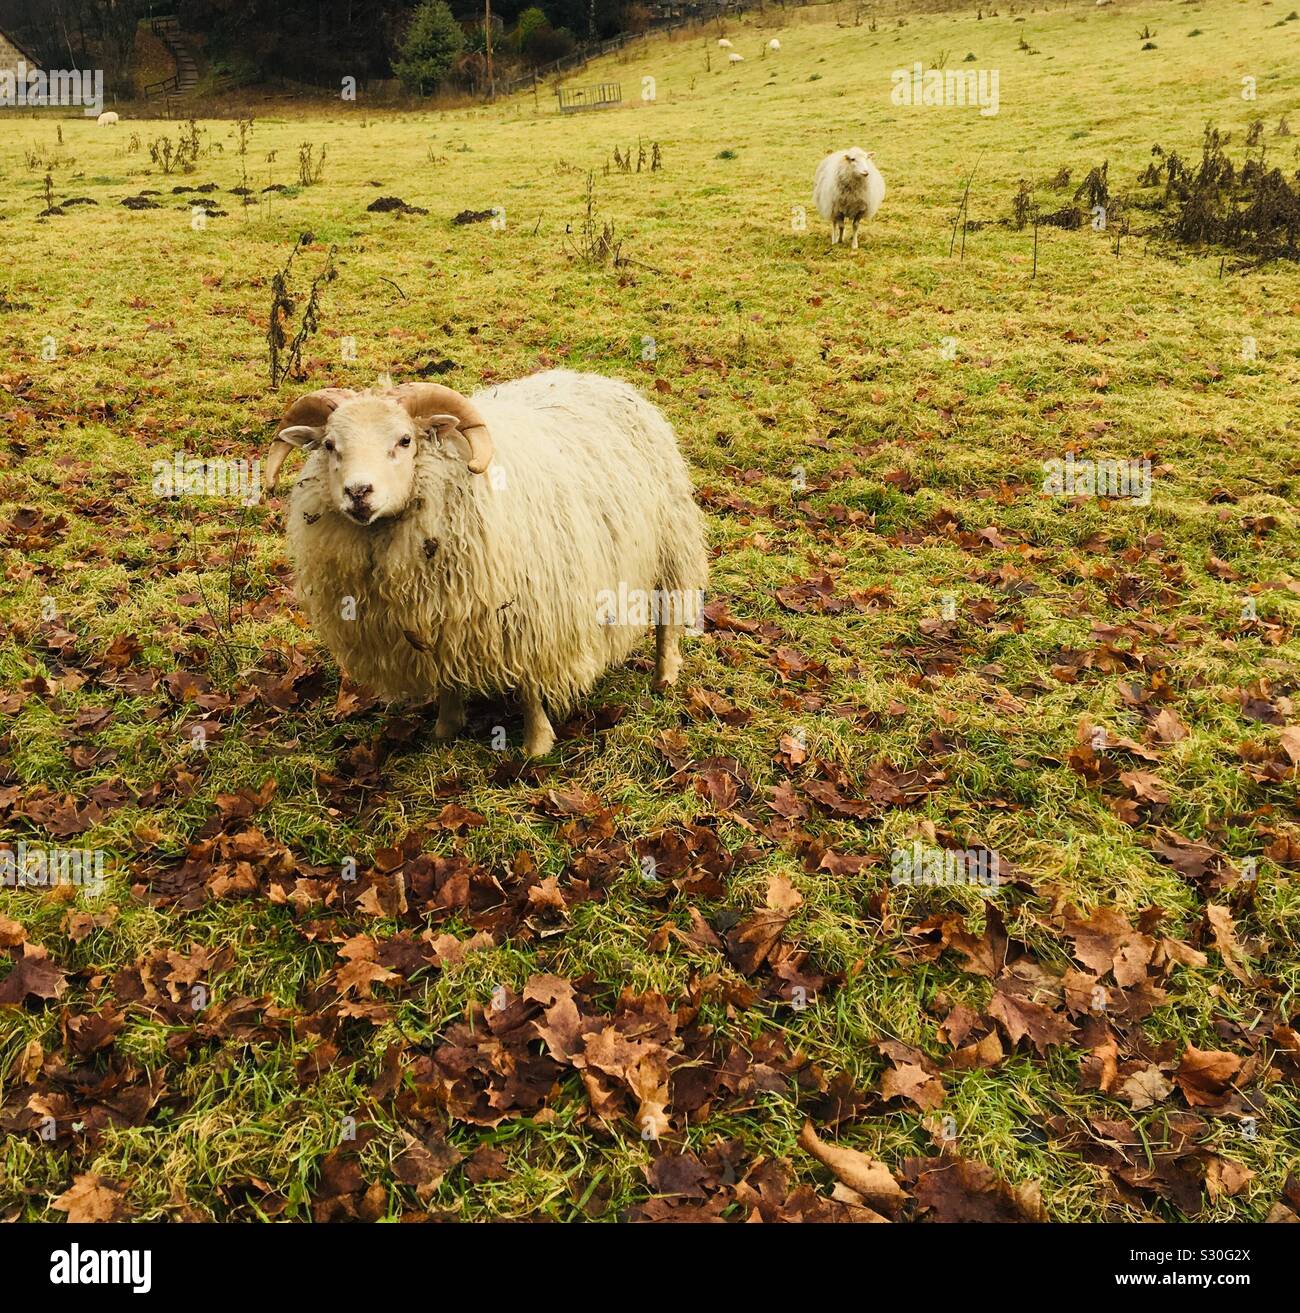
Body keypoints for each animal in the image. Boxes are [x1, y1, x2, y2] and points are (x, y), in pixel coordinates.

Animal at [268, 371, 709, 757]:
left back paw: (664, 676)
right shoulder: (435, 614)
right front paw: (445, 728)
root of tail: (604, 380)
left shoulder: (531, 613)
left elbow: (530, 686)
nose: (358, 492)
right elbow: (445, 676)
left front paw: (536, 745)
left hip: (670, 541)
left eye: (405, 440)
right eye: (329, 445)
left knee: (667, 618)